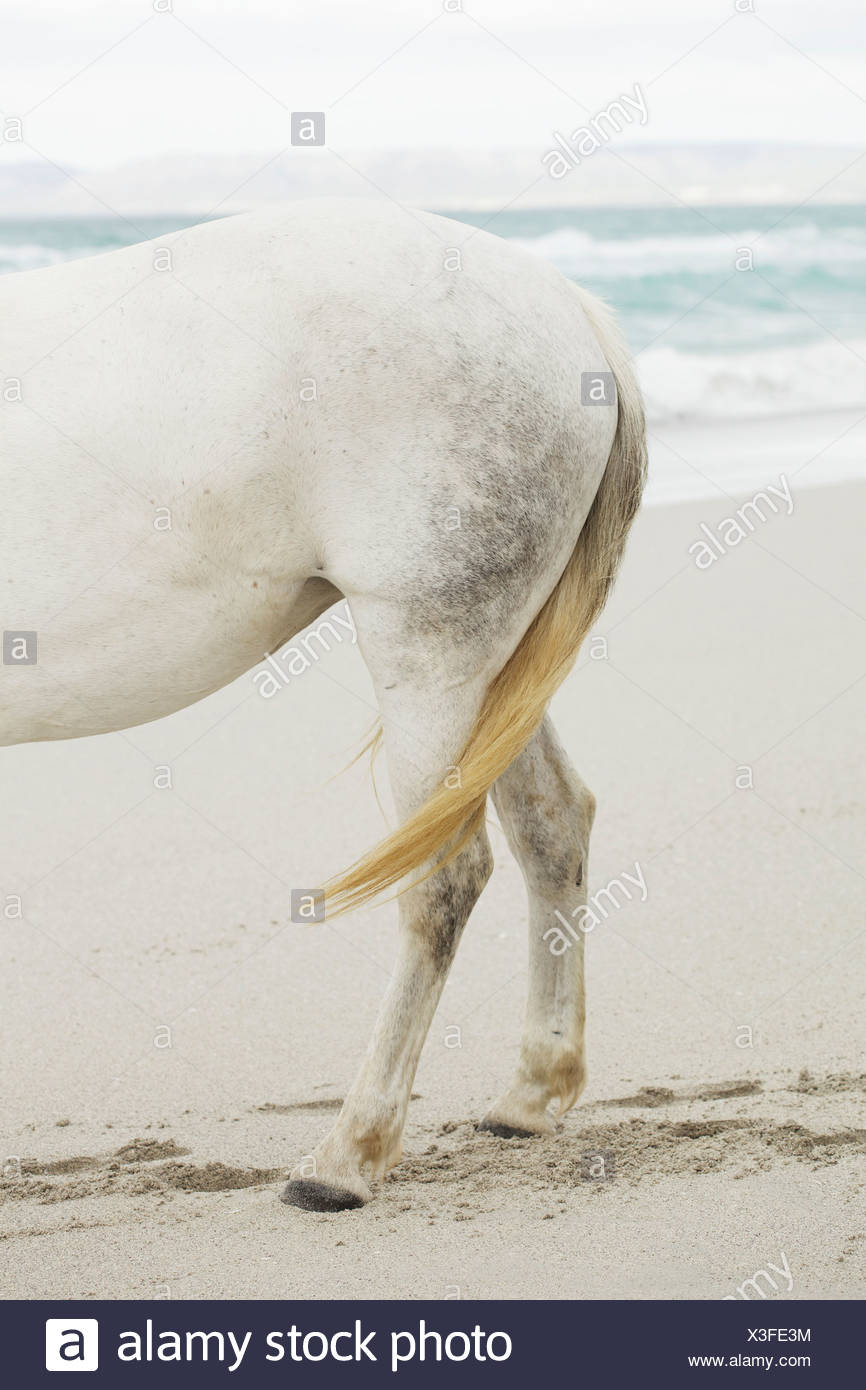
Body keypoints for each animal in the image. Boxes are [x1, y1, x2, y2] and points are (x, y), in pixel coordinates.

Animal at [0, 198, 646, 1210]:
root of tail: (573, 314)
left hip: (431, 650)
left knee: (444, 880)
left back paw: (348, 1156)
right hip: (497, 667)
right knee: (554, 823)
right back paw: (531, 1095)